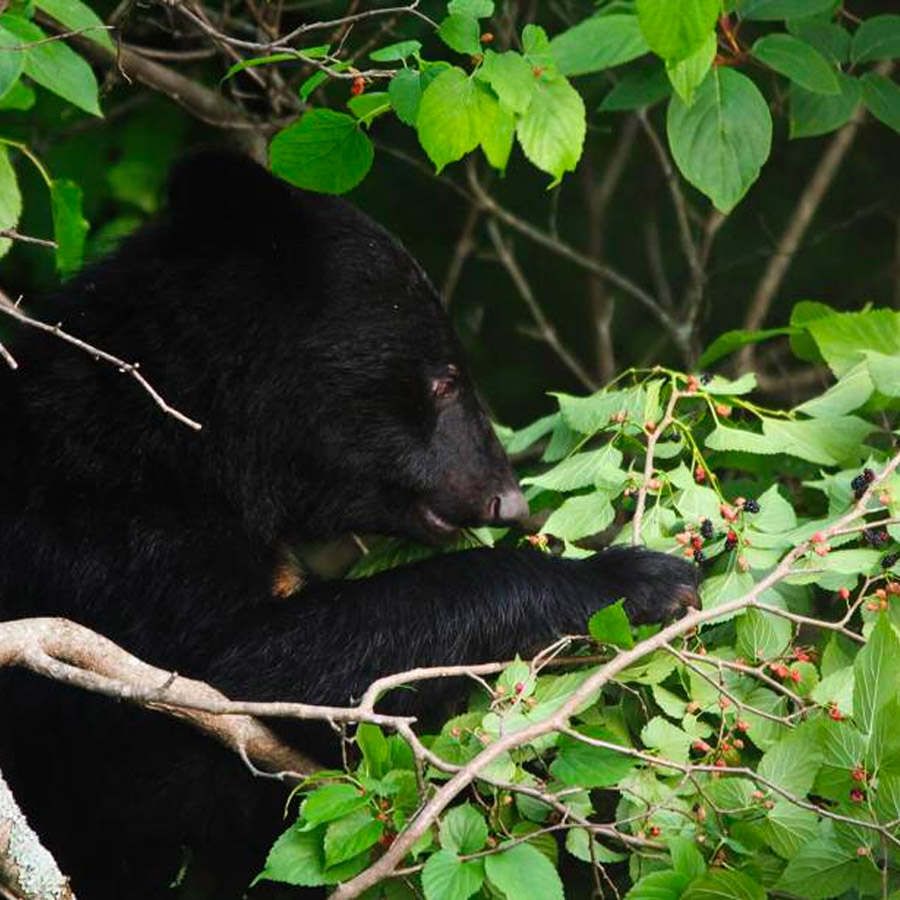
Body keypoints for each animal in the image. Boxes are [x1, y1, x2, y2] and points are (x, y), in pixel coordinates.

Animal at [0, 151, 697, 899]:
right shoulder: (105, 535)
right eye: (445, 378)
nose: (506, 500)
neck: (190, 433)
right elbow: (233, 672)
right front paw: (635, 576)